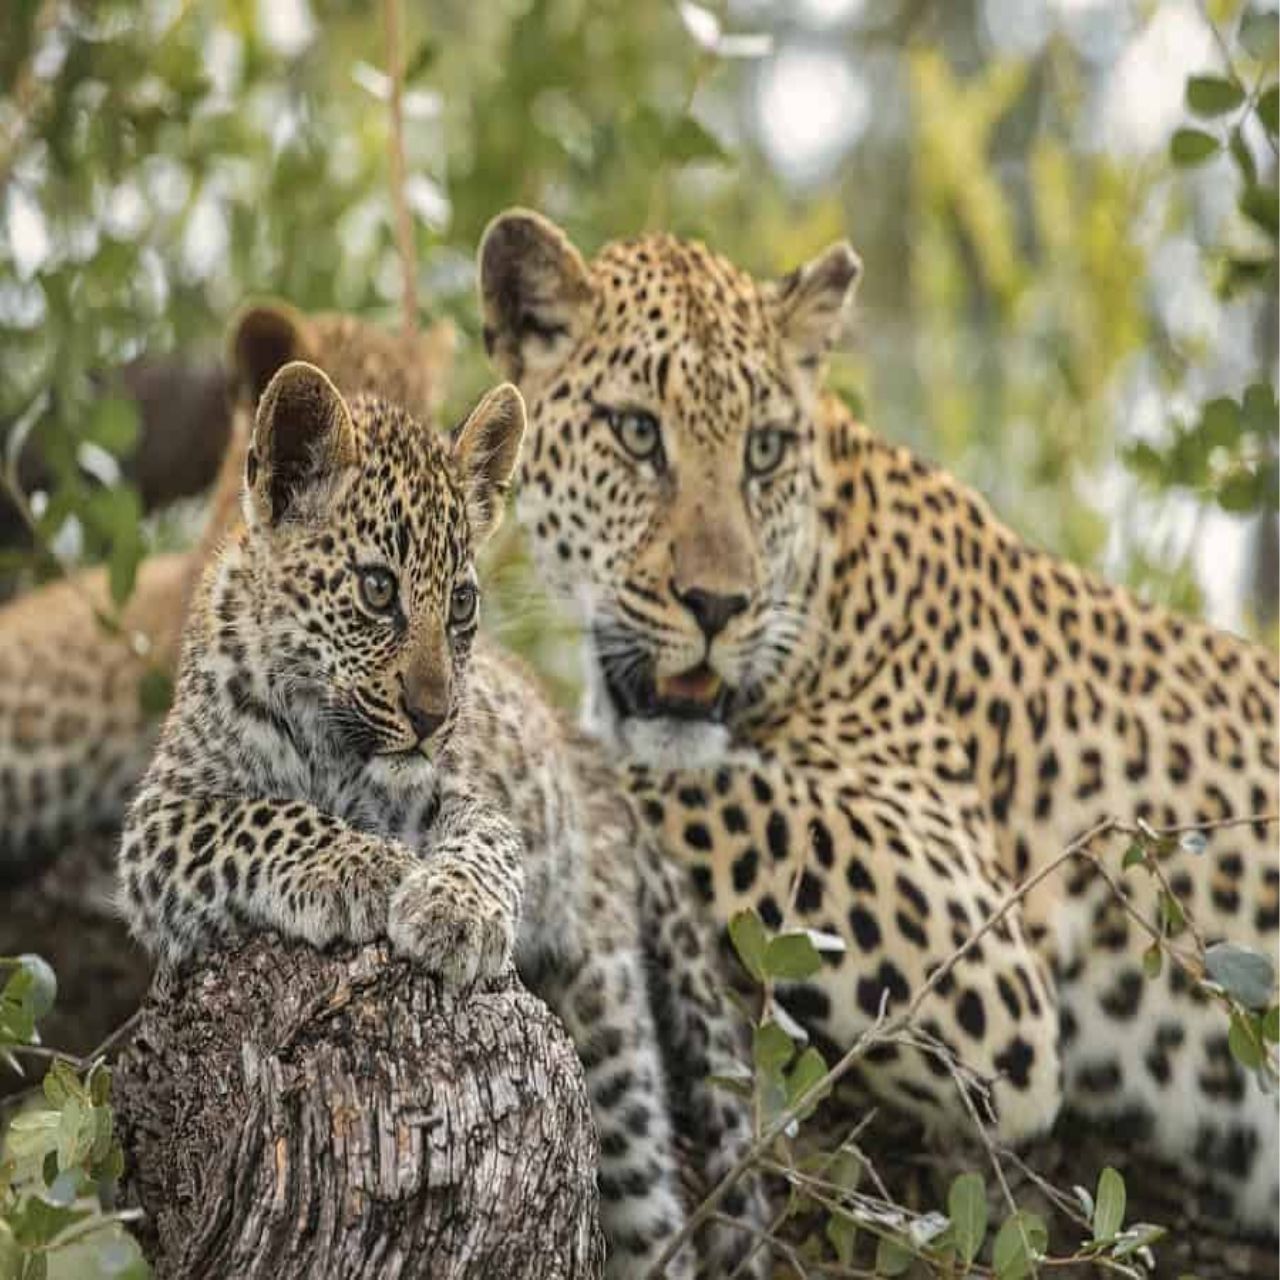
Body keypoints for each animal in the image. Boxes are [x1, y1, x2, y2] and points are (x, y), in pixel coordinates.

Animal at [116, 359, 767, 1279]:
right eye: (376, 589)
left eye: (460, 603)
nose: (433, 715)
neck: (328, 738)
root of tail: (599, 769)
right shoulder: (162, 818)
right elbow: (262, 817)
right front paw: (358, 867)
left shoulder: (464, 794)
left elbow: (487, 841)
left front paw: (452, 911)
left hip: (609, 1015)